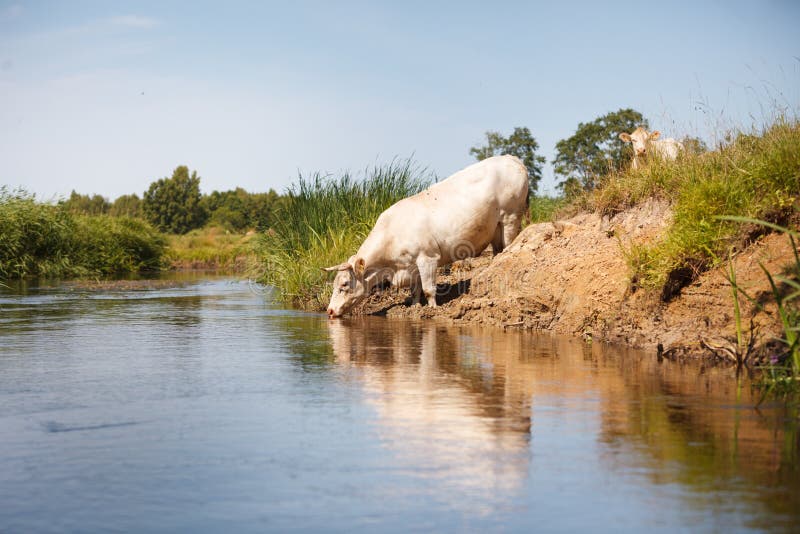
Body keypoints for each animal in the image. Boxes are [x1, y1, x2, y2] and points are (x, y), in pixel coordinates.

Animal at [323, 155, 529, 318]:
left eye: (344, 284)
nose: (329, 311)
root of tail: (511, 158)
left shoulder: (427, 258)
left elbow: (428, 290)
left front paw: (432, 309)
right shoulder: (411, 266)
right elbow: (415, 291)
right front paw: (414, 307)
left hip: (510, 217)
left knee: (509, 245)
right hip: (496, 229)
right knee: (497, 251)